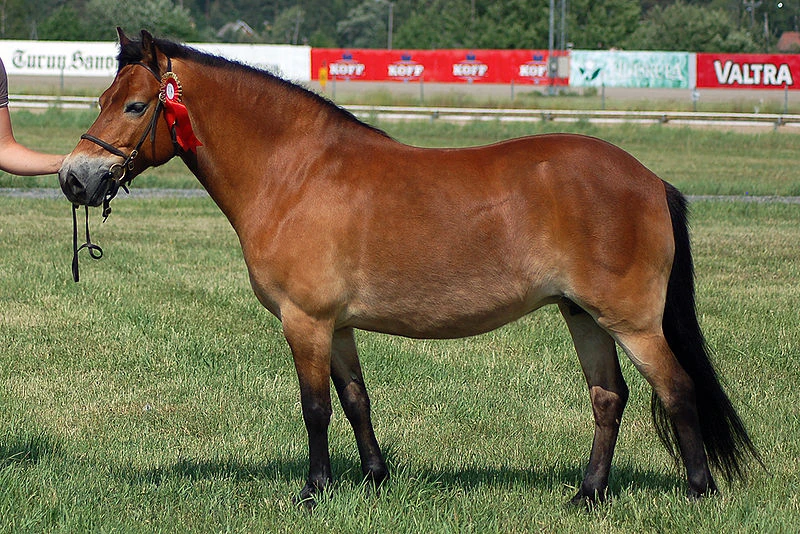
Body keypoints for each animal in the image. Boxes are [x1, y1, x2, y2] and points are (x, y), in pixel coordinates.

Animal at [59, 29, 760, 506]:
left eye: (134, 106)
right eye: (103, 97)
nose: (74, 178)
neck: (296, 171)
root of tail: (650, 180)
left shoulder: (305, 321)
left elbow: (315, 407)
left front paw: (314, 491)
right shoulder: (336, 325)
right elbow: (355, 400)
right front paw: (373, 479)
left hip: (632, 320)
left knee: (676, 390)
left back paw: (698, 492)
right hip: (583, 314)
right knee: (608, 398)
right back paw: (587, 495)